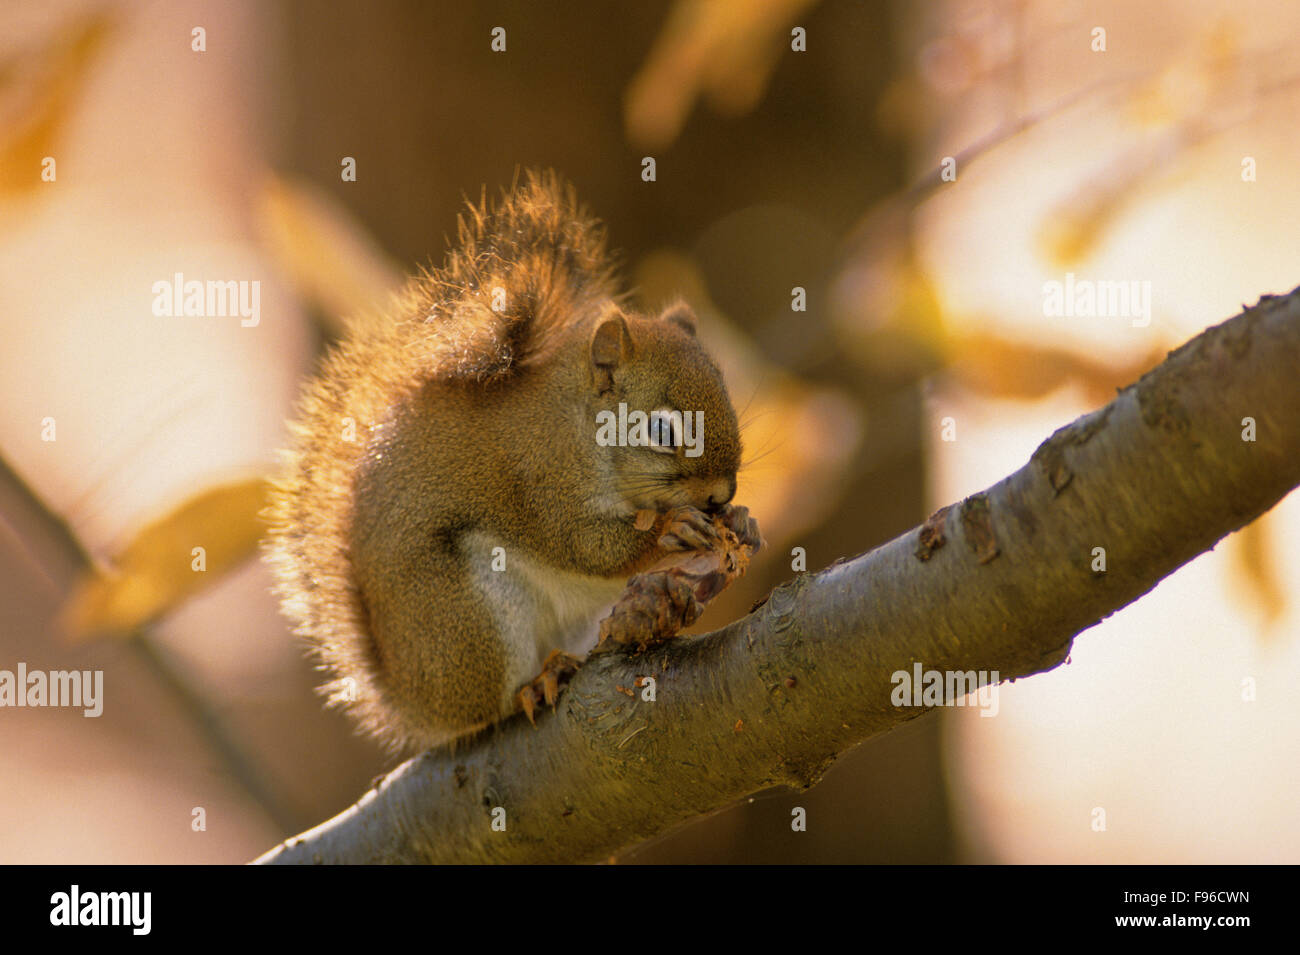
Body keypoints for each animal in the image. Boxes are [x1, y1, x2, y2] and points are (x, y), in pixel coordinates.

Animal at [265, 170, 758, 753]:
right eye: (661, 429)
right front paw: (670, 529)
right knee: (490, 704)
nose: (722, 495)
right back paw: (536, 681)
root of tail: (416, 706)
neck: (579, 427)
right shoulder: (539, 476)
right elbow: (587, 547)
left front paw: (742, 523)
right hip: (467, 616)